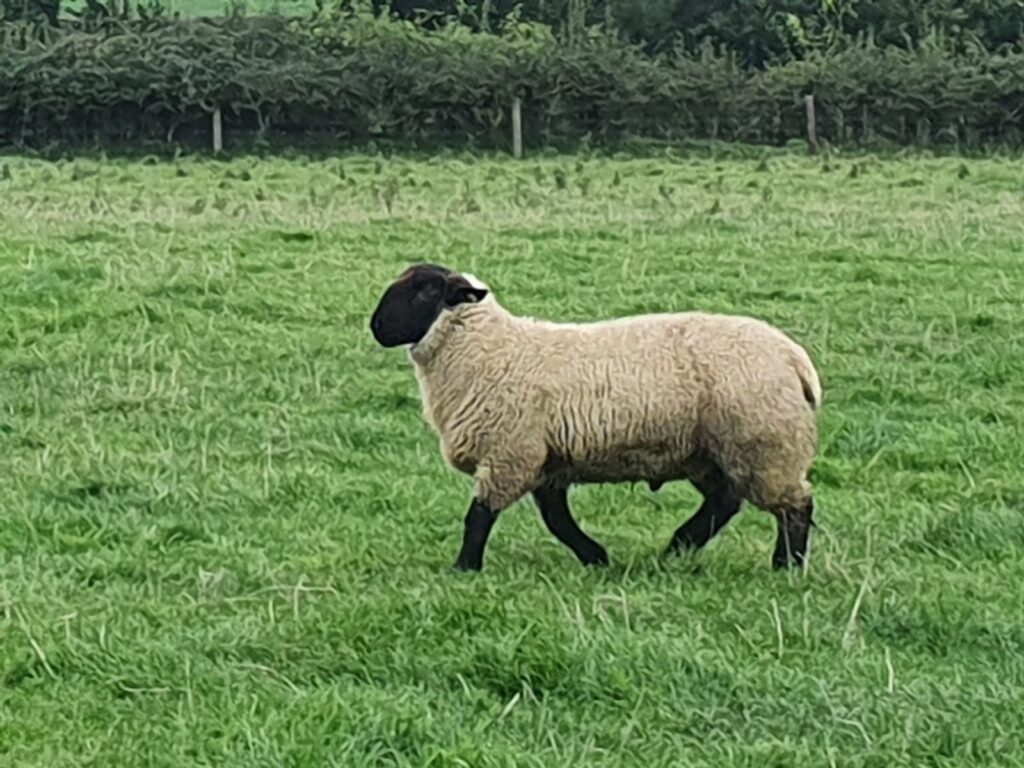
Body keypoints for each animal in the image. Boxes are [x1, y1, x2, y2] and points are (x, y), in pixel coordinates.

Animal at [369, 262, 822, 573]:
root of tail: (794, 357)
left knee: (795, 506)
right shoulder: (543, 460)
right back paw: (677, 547)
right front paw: (596, 557)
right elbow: (557, 520)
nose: (375, 328)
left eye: (426, 291)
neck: (492, 350)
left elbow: (478, 516)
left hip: (764, 444)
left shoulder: (510, 453)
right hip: (713, 451)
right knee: (724, 502)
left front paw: (464, 568)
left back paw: (786, 566)